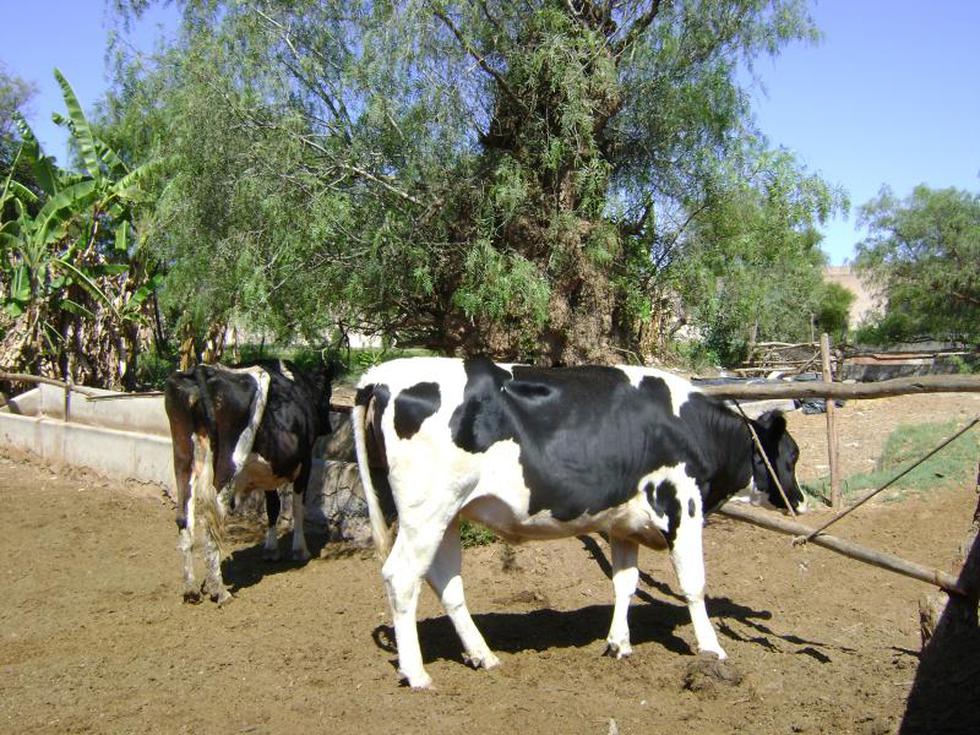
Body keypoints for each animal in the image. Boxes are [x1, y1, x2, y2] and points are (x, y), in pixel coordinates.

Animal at [164, 359, 332, 604]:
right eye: (328, 393)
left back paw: (191, 589)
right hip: (227, 468)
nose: (329, 427)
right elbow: (297, 508)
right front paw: (300, 550)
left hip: (184, 460)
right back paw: (219, 590)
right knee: (213, 519)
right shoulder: (305, 462)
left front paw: (271, 549)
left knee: (184, 519)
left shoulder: (268, 472)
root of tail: (199, 371)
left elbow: (273, 507)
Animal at [351, 356, 805, 688]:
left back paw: (483, 655)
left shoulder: (624, 522)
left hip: (446, 514)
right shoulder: (682, 505)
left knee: (445, 582)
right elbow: (694, 585)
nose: (800, 501)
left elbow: (625, 582)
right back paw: (418, 674)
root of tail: (383, 374)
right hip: (426, 510)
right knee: (401, 577)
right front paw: (712, 649)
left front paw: (619, 645)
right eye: (792, 454)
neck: (689, 428)